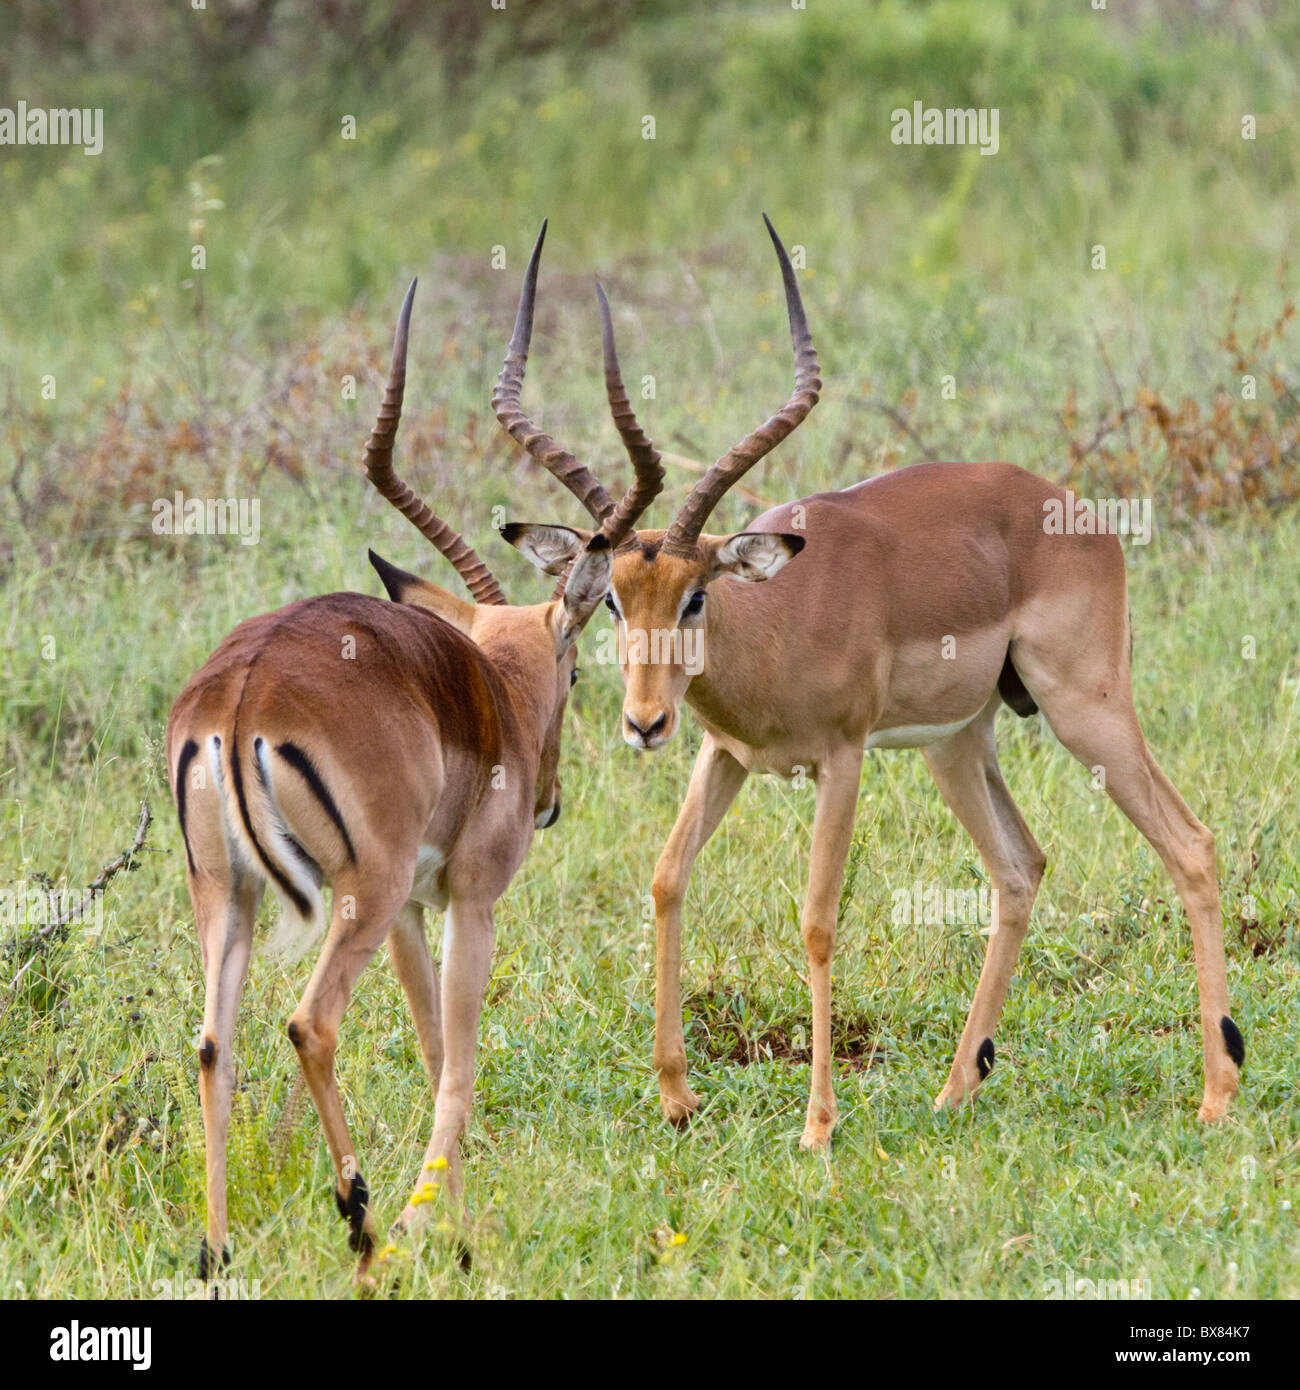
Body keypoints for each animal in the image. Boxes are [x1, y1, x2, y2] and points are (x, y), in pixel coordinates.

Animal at [165, 224, 664, 1275]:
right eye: (580, 666)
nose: (550, 800)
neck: (494, 690)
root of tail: (240, 695)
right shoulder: (465, 898)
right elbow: (460, 1061)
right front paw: (437, 1226)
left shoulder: (410, 914)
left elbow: (436, 1050)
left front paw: (454, 1219)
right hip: (358, 891)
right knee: (308, 1022)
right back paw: (357, 1217)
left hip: (231, 894)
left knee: (213, 1045)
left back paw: (220, 1252)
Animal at [503, 214, 1243, 1150]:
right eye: (612, 602)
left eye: (695, 595)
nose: (644, 723)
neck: (774, 623)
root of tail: (1082, 513)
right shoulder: (728, 755)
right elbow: (669, 877)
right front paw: (675, 1096)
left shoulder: (843, 760)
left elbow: (819, 919)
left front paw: (818, 1125)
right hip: (958, 744)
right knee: (1020, 867)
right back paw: (956, 1089)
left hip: (1086, 709)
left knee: (1191, 845)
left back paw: (1217, 1092)